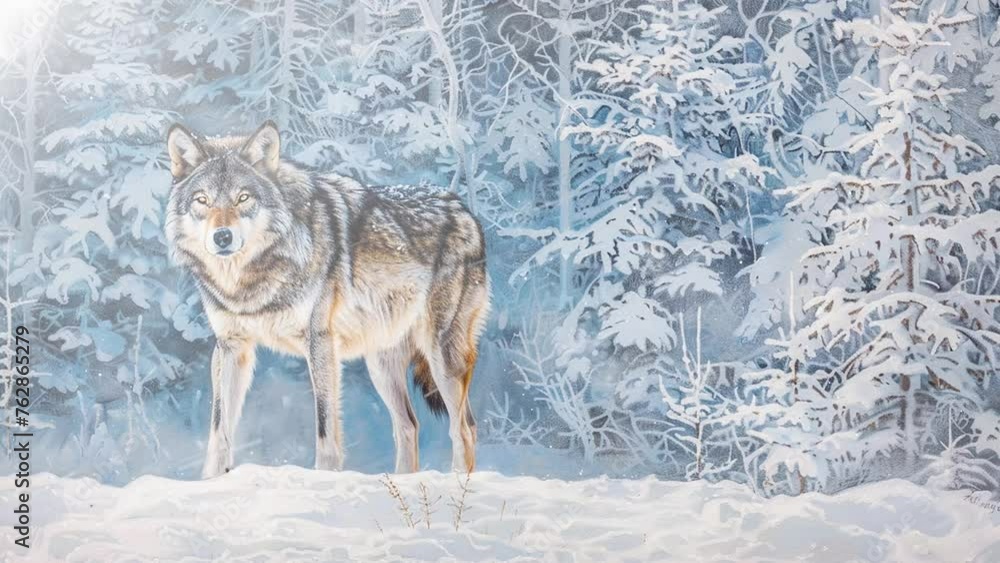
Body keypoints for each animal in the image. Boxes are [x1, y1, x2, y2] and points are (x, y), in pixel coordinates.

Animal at [164, 121, 489, 478]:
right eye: (202, 200)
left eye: (243, 197)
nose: (222, 237)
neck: (250, 281)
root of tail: (464, 210)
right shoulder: (230, 346)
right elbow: (219, 427)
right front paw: (212, 480)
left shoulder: (320, 342)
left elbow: (325, 425)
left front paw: (325, 478)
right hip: (381, 365)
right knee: (409, 425)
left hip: (441, 357)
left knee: (464, 428)